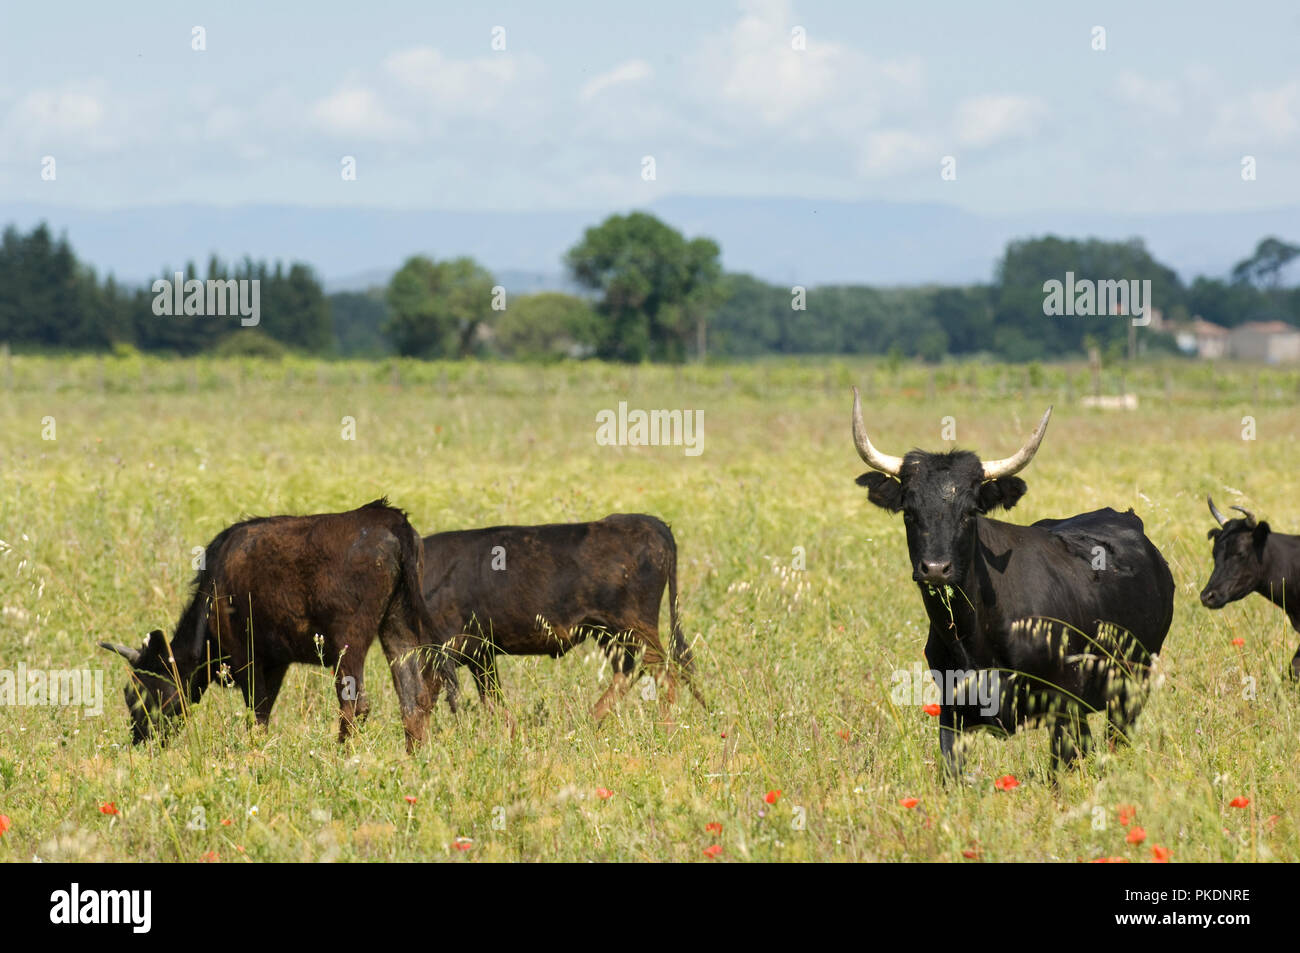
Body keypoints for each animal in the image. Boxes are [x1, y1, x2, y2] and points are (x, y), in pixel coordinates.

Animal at [99, 499, 458, 751]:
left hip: (349, 644)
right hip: (398, 626)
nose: (140, 740)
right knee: (414, 699)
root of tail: (389, 518)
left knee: (355, 706)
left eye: (138, 692)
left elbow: (256, 715)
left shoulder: (248, 658)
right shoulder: (276, 663)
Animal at [420, 514, 705, 722]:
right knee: (629, 671)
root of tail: (650, 522)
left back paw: (665, 729)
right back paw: (588, 721)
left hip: (636, 629)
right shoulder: (480, 654)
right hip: (609, 633)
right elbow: (491, 700)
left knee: (664, 674)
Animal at [850, 389, 1175, 777]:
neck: (975, 636)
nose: (935, 568)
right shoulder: (950, 711)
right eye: (909, 513)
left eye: (970, 512)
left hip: (1132, 684)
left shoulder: (1063, 704)